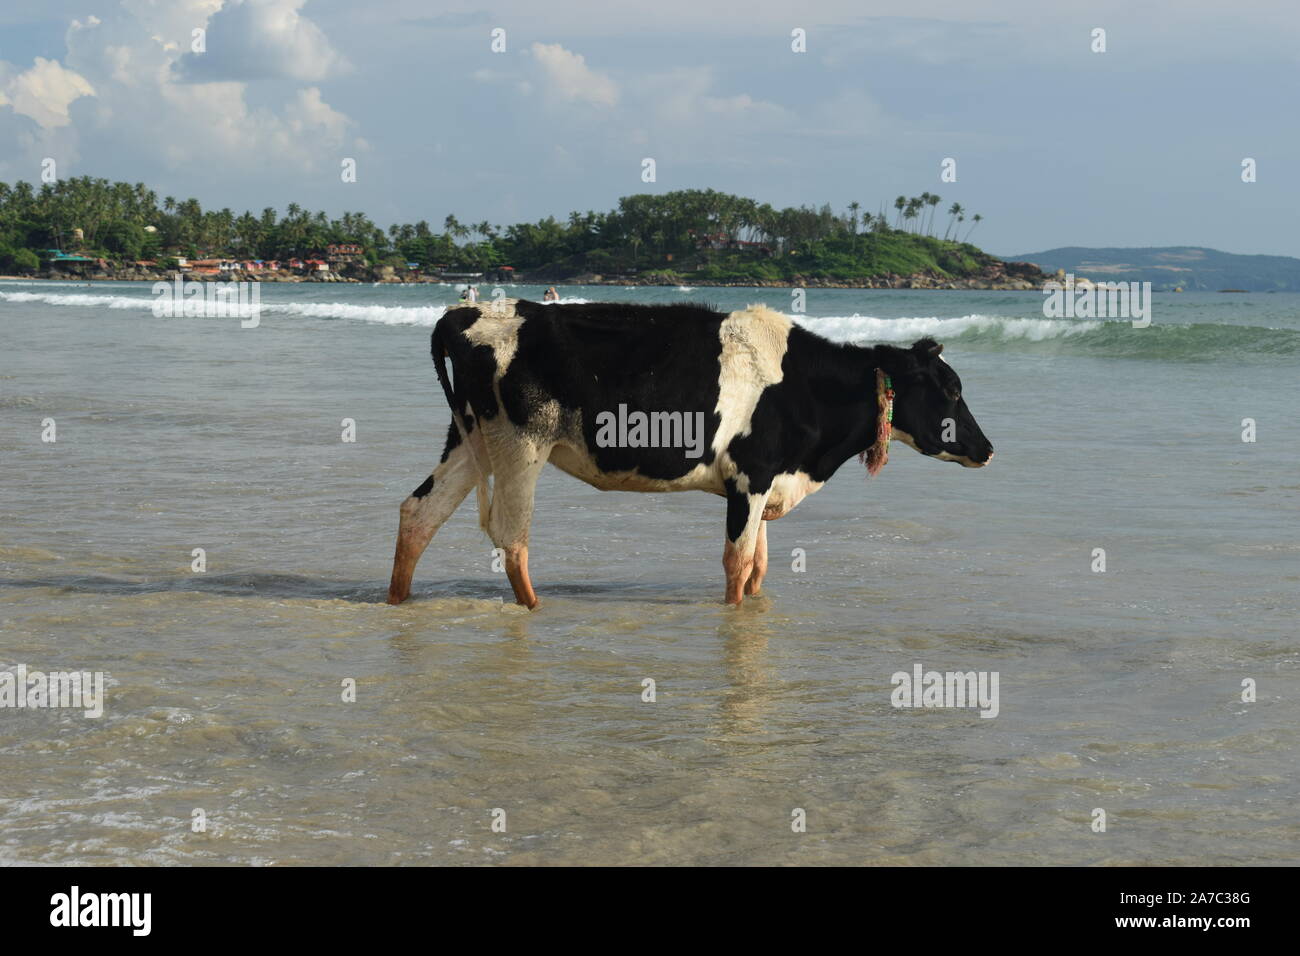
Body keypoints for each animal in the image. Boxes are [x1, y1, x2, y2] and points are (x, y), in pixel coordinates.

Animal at [387, 299, 993, 608]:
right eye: (951, 390)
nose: (988, 449)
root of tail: (469, 312)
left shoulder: (765, 482)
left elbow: (759, 567)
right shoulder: (749, 478)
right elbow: (738, 564)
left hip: (472, 439)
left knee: (420, 511)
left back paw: (397, 600)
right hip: (520, 445)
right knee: (512, 540)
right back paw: (534, 609)